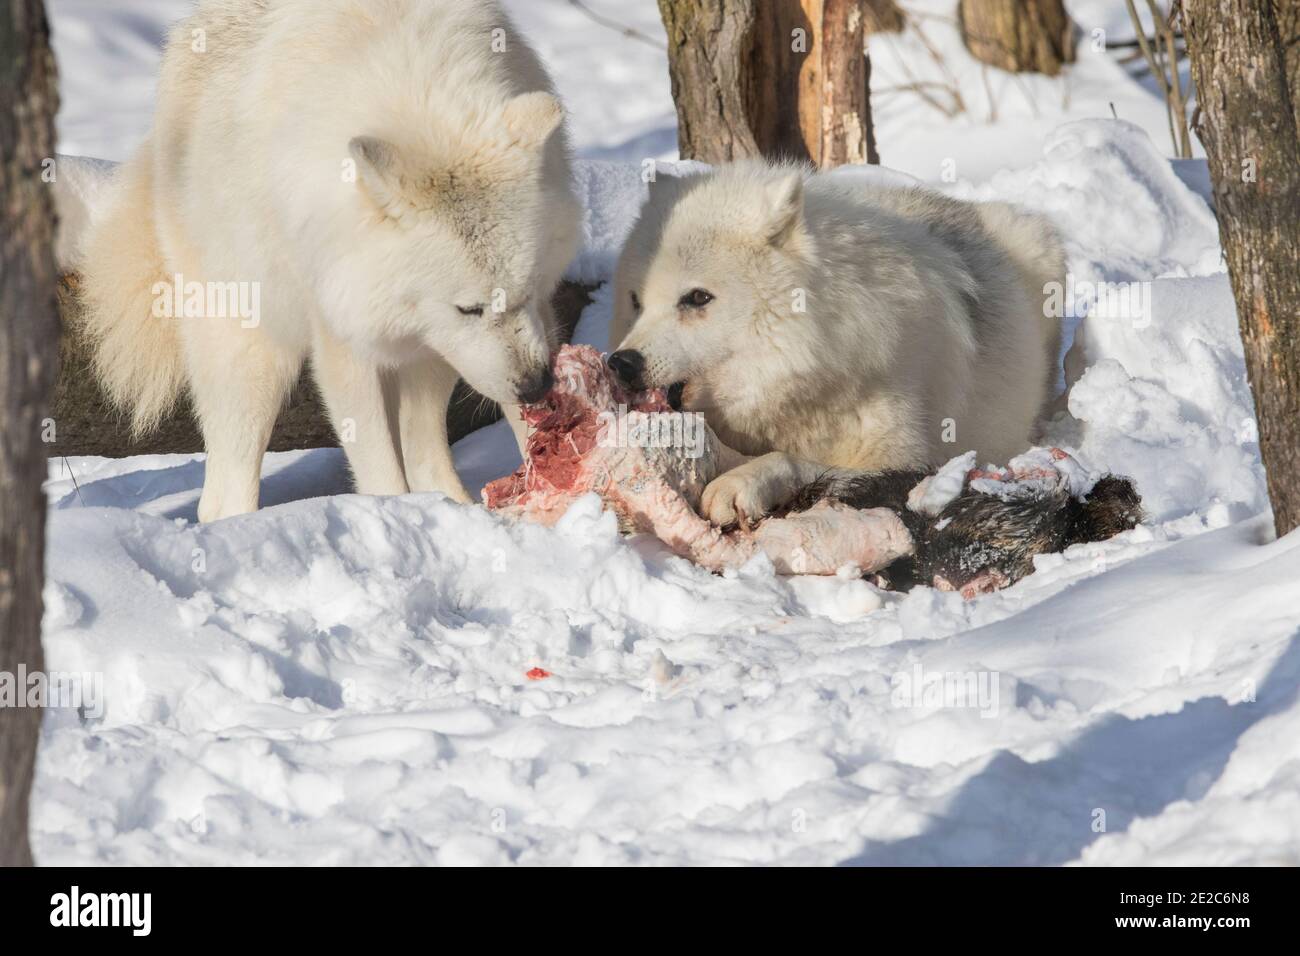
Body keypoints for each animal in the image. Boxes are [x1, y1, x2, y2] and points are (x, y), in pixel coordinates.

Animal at [80, 0, 581, 522]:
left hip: (430, 357)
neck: (417, 92)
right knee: (222, 496)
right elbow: (380, 472)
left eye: (527, 289)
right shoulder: (342, 334)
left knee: (427, 456)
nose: (535, 385)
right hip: (253, 352)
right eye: (470, 308)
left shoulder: (532, 320)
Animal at [607, 161, 1065, 528]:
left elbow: (791, 459)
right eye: (635, 301)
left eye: (698, 298)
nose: (622, 363)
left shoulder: (902, 459)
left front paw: (740, 483)